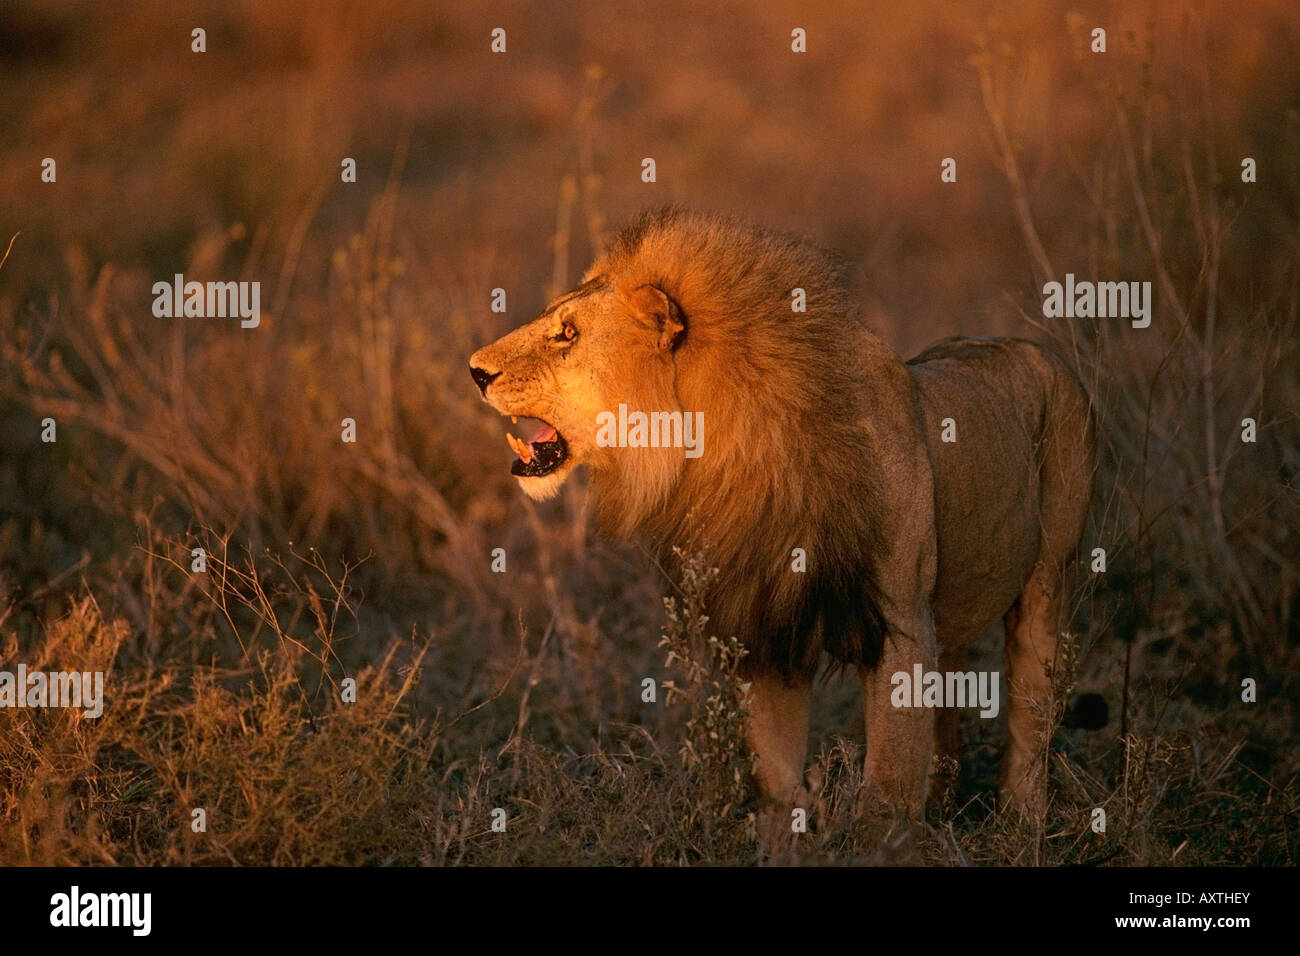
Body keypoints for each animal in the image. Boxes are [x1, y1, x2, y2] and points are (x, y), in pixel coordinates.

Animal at [469, 207, 1095, 826]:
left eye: (567, 334)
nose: (474, 370)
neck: (729, 454)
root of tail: (1033, 345)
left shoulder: (901, 625)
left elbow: (890, 782)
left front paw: (881, 837)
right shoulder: (766, 623)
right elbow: (775, 771)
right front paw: (792, 826)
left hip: (1049, 583)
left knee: (1031, 709)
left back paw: (1022, 819)